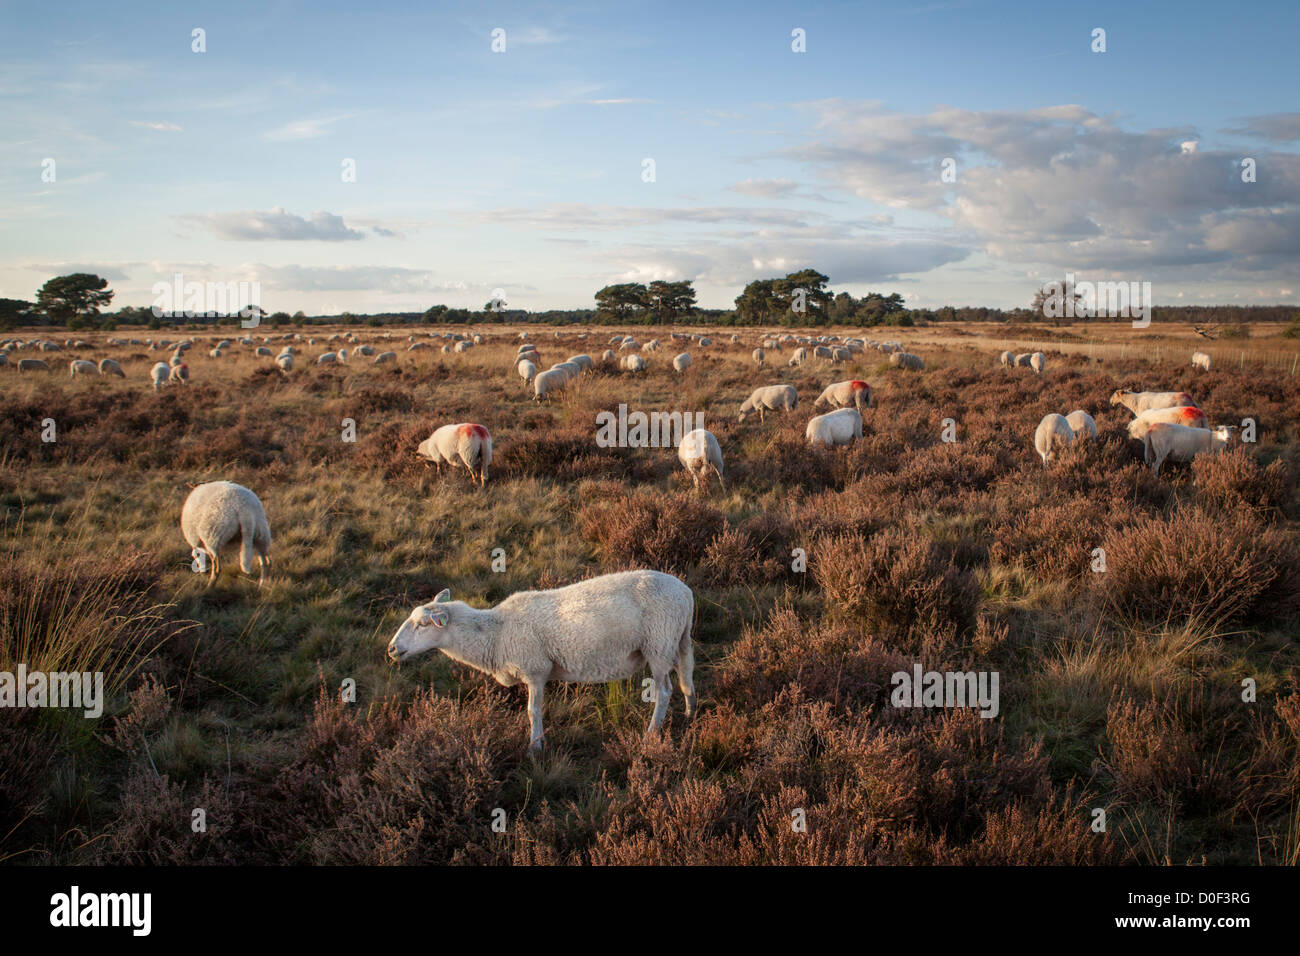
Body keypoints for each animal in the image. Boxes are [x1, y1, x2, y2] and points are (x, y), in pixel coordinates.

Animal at [385, 569, 695, 754]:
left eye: (422, 624)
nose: (391, 649)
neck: (497, 633)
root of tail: (686, 592)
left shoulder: (535, 670)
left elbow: (533, 712)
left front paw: (535, 746)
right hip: (678, 639)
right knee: (686, 678)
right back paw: (691, 713)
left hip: (658, 644)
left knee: (664, 691)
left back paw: (651, 733)